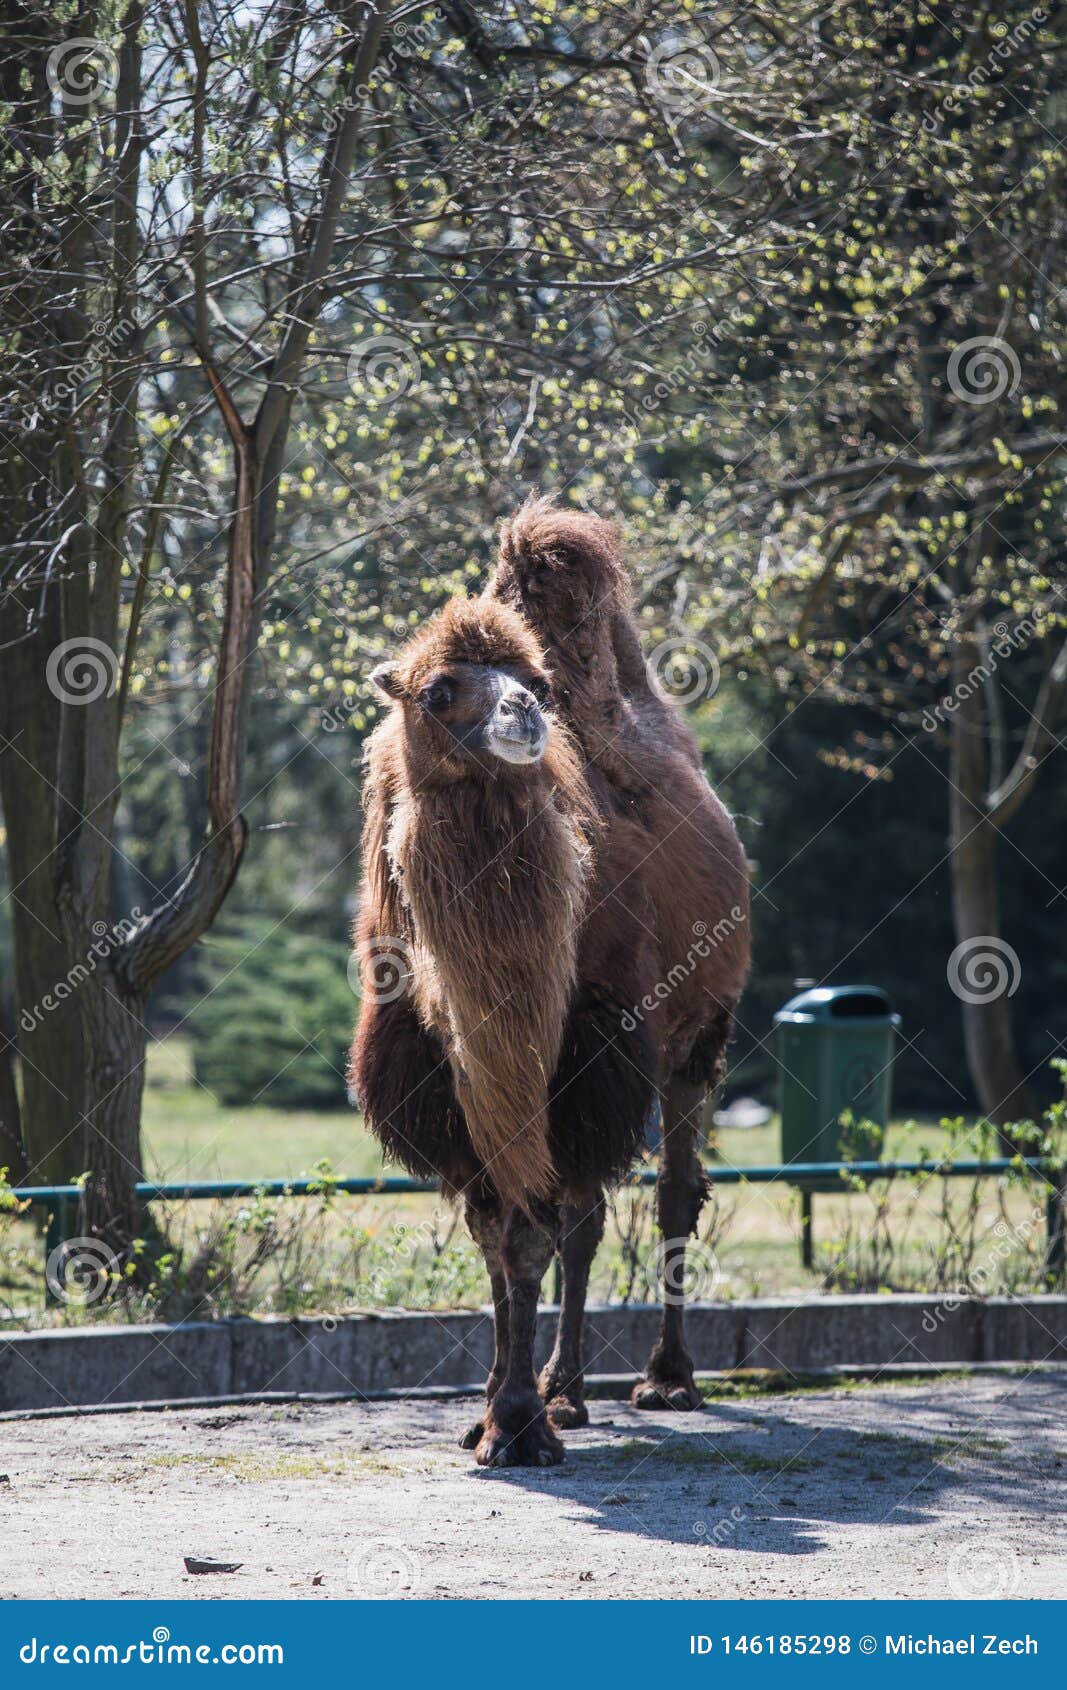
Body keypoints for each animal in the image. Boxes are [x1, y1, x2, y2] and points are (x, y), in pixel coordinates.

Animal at [350, 500, 749, 1466]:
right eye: (437, 689)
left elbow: (528, 1234)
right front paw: (498, 1406)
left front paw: (516, 1425)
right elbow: (494, 1234)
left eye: (531, 675)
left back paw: (664, 1381)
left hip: (693, 1030)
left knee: (666, 1193)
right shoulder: (437, 1070)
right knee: (585, 1215)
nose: (527, 707)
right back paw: (567, 1389)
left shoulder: (583, 1041)